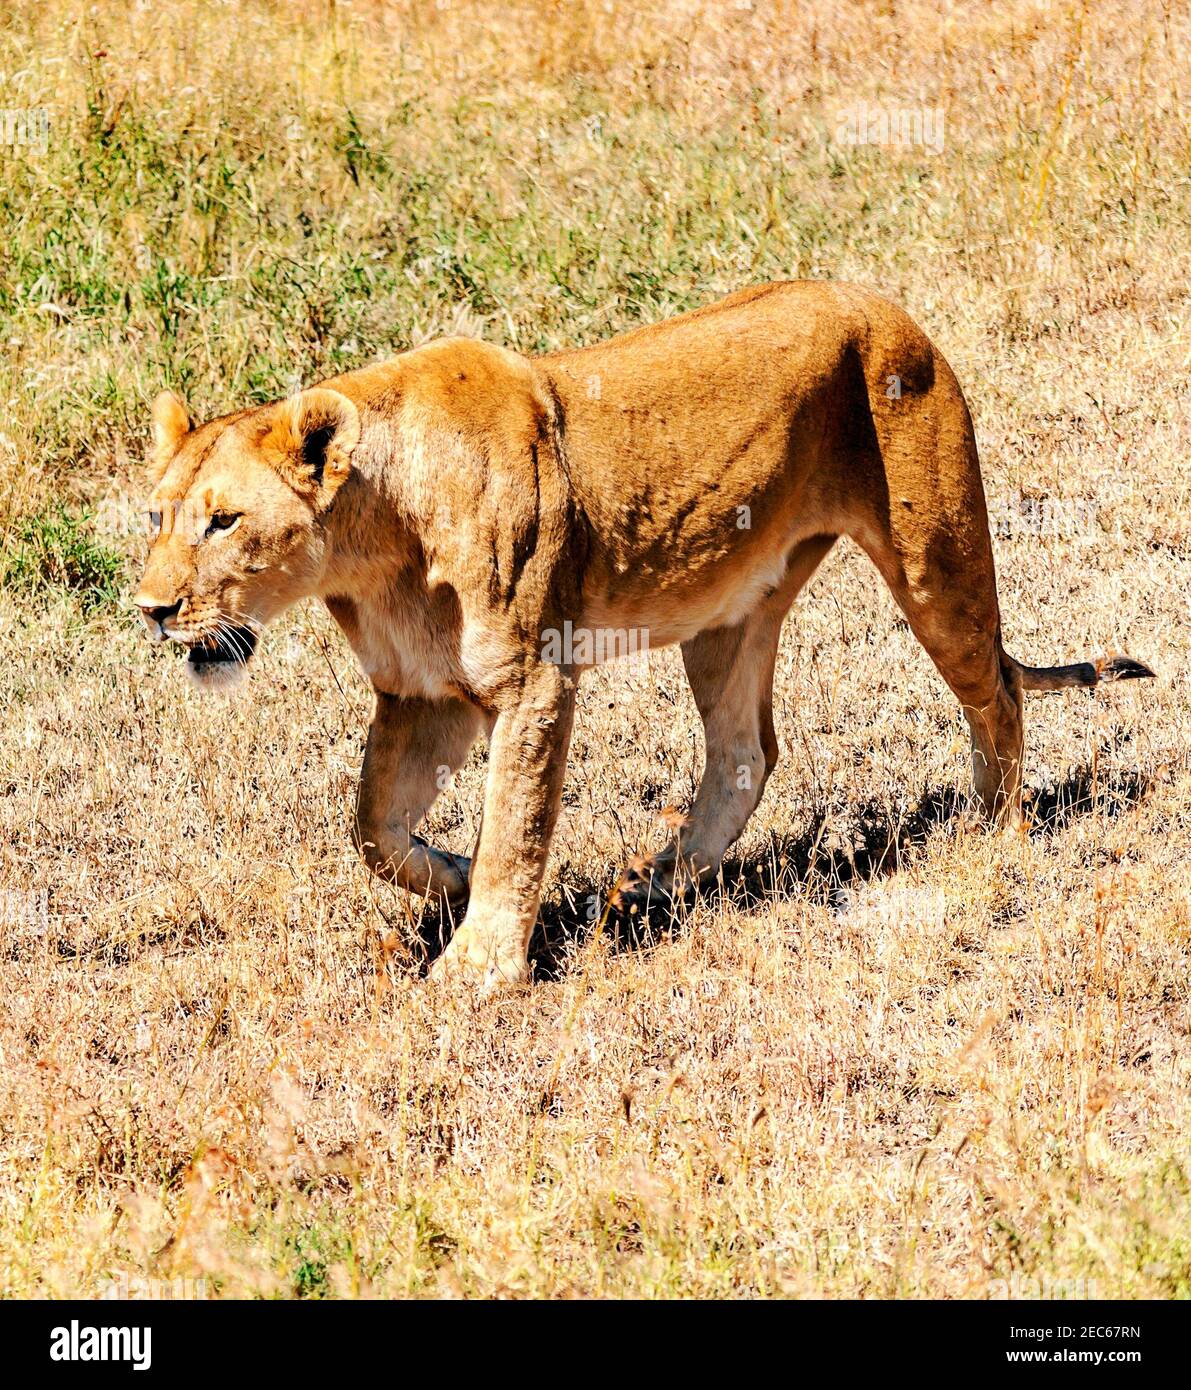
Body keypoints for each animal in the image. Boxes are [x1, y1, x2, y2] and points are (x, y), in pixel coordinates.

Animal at [133, 282, 1153, 988]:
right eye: (157, 515)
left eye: (223, 522)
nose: (151, 609)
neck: (371, 545)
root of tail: (888, 305)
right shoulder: (420, 695)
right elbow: (373, 827)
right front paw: (455, 879)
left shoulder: (532, 680)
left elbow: (515, 823)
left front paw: (479, 970)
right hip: (730, 617)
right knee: (745, 754)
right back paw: (652, 884)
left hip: (934, 557)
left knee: (996, 688)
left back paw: (996, 835)